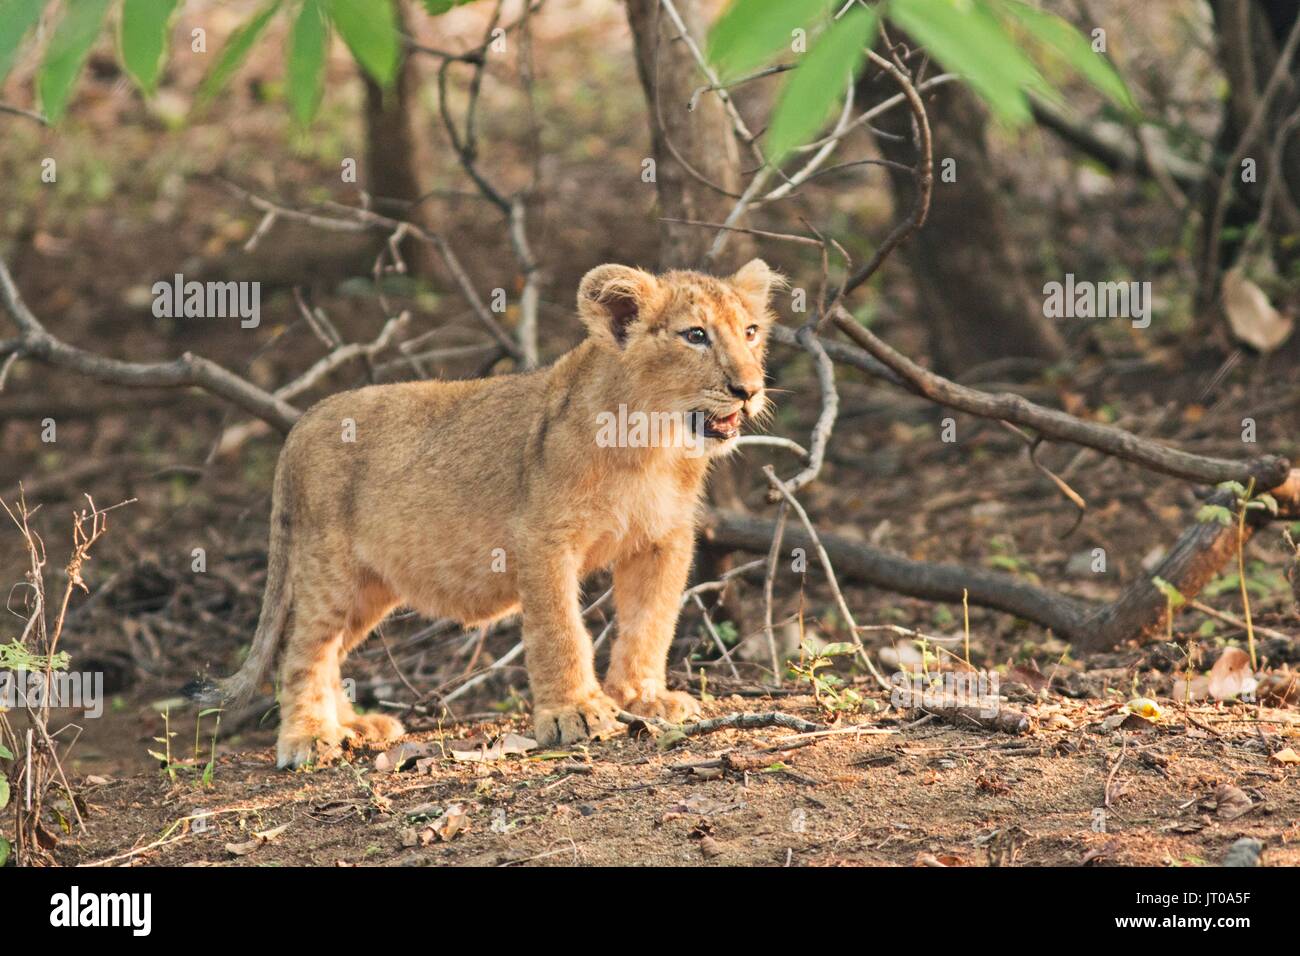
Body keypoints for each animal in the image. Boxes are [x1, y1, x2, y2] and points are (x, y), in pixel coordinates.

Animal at [203, 259, 780, 768]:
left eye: (751, 332)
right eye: (695, 336)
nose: (748, 389)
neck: (653, 444)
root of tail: (304, 420)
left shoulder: (662, 539)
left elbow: (650, 623)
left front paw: (643, 697)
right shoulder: (543, 537)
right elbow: (558, 629)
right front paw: (574, 712)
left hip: (370, 587)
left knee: (333, 651)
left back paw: (355, 725)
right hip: (331, 570)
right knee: (302, 651)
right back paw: (310, 737)